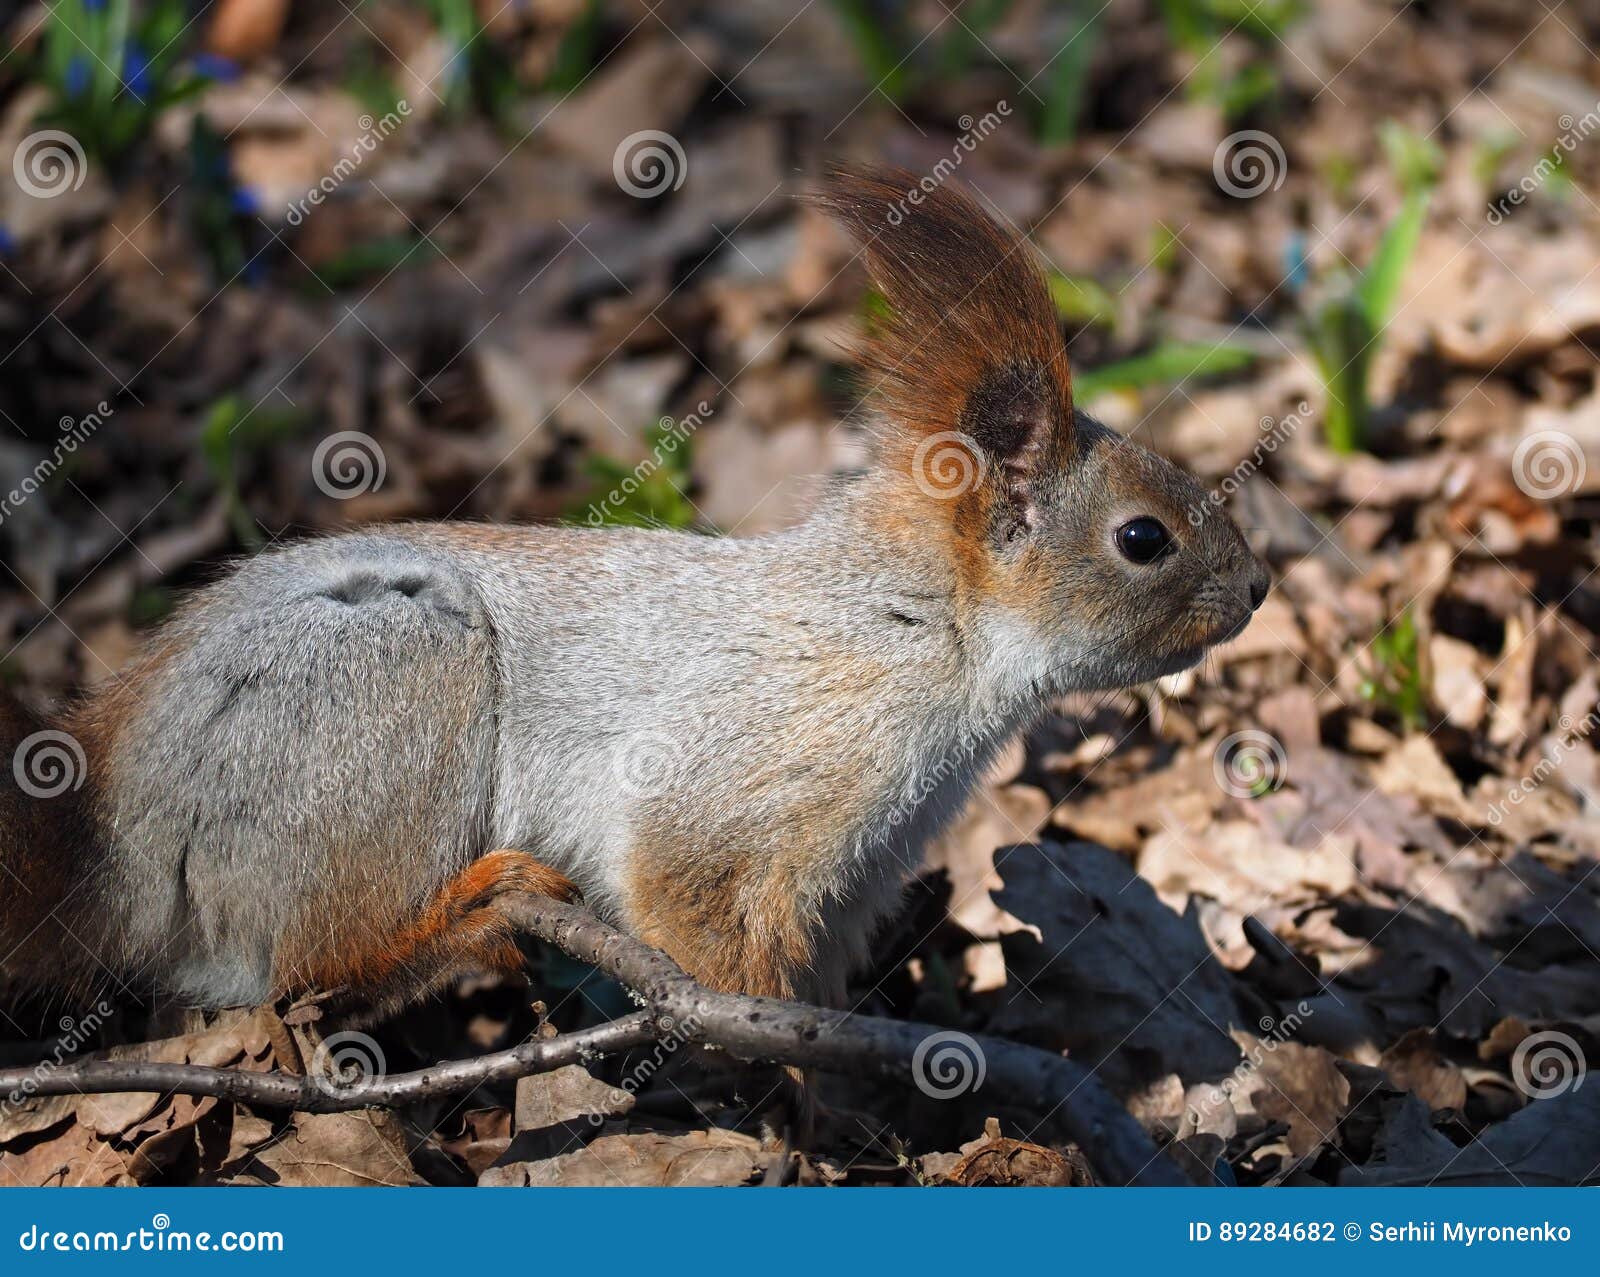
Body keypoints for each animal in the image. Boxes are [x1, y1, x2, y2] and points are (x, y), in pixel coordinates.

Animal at [0, 166, 1268, 1023]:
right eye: (1143, 538)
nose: (1257, 586)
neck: (932, 627)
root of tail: (107, 828)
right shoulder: (764, 760)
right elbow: (690, 899)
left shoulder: (861, 864)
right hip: (387, 684)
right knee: (304, 965)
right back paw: (468, 919)